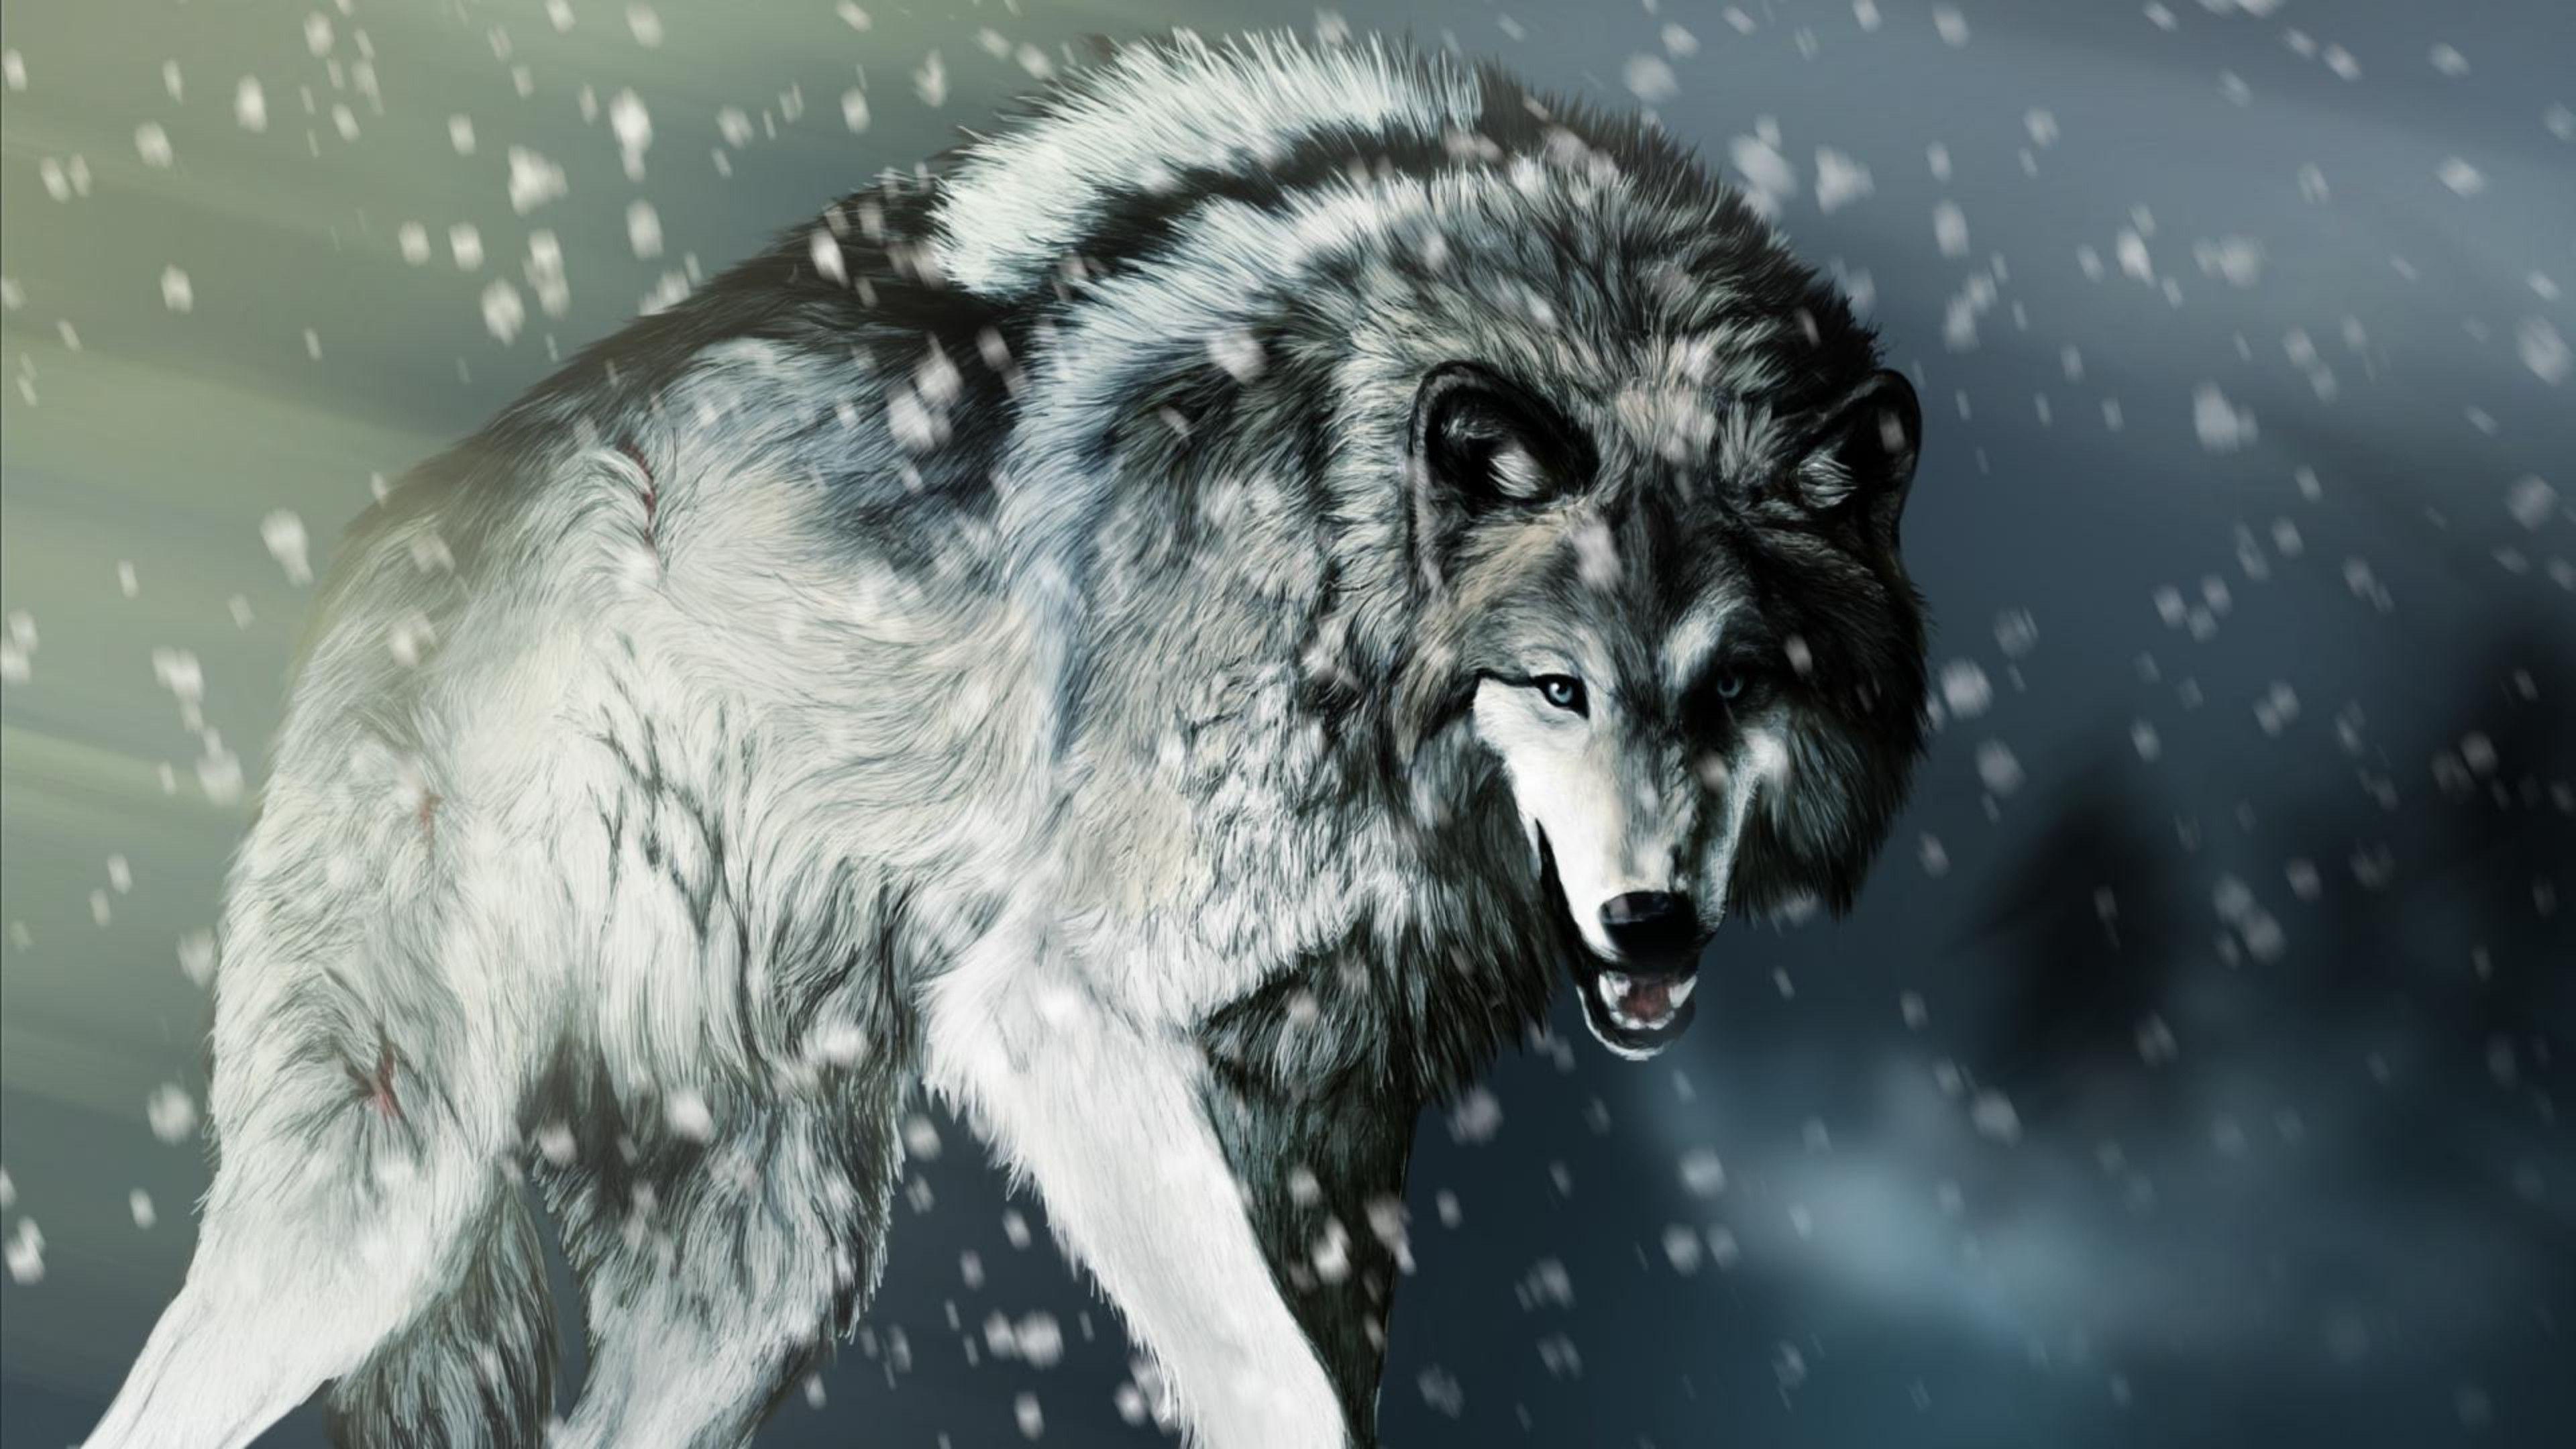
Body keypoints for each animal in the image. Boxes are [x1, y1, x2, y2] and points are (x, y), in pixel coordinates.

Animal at [85, 31, 1928, 1449]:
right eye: (1557, 687)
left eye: (1736, 686)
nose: (1650, 925)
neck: (1346, 541)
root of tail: (393, 528)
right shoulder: (1062, 1010)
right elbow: (1273, 1386)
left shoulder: (1328, 1132)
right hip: (381, 1208)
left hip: (776, 1274)